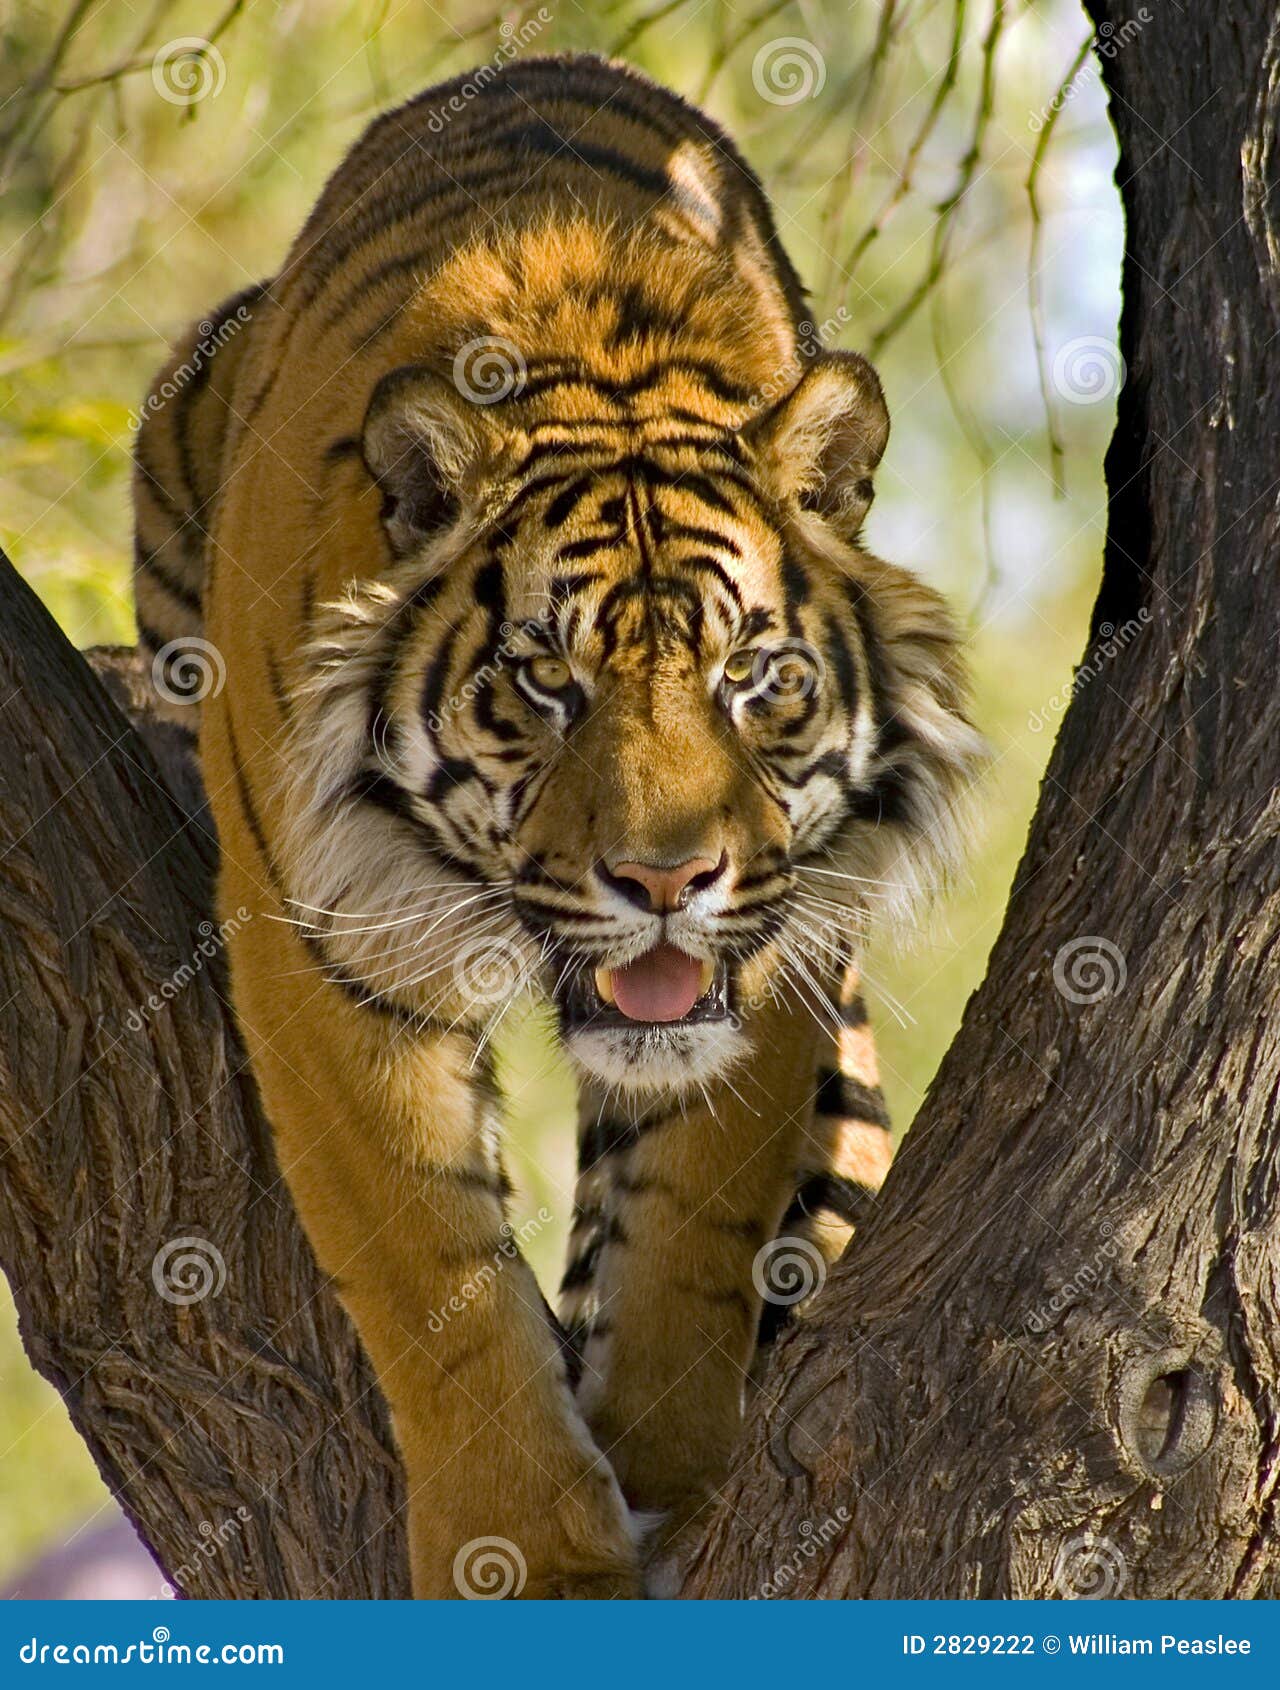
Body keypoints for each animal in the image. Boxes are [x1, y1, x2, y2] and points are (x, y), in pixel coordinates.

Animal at [131, 52, 982, 1599]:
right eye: (545, 680)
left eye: (750, 673)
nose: (667, 877)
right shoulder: (319, 943)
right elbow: (428, 1264)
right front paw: (530, 1554)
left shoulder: (771, 944)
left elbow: (693, 1226)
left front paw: (671, 1480)